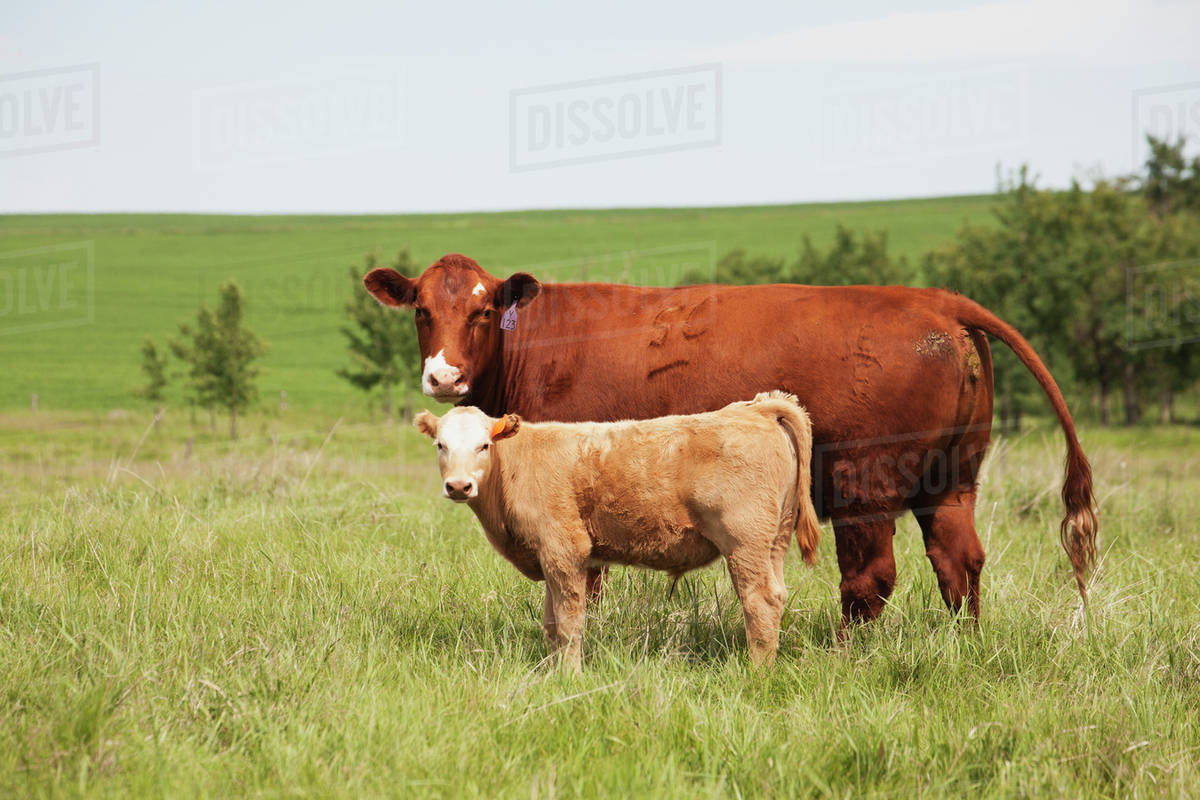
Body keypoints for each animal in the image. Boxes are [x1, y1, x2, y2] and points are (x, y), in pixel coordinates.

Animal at [365, 253, 1098, 630]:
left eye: (485, 308)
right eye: (423, 310)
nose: (444, 374)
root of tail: (936, 300)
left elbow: (582, 584)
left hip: (864, 481)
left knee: (870, 577)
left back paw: (844, 655)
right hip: (952, 478)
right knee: (958, 561)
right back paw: (959, 644)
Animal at [415, 392, 822, 669]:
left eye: (483, 445)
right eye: (440, 445)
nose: (459, 486)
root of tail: (755, 408)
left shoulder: (565, 550)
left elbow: (568, 622)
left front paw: (570, 675)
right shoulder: (550, 558)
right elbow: (550, 622)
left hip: (744, 542)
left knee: (760, 601)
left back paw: (757, 672)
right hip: (773, 542)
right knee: (777, 596)